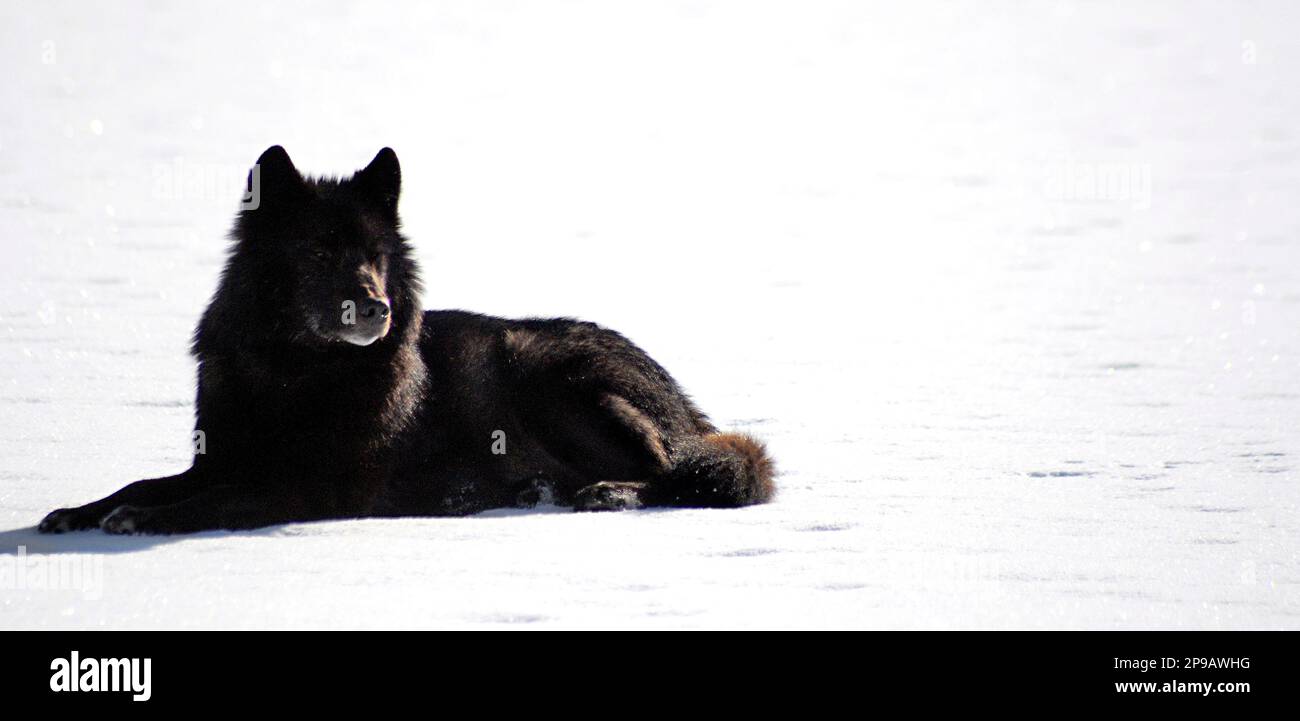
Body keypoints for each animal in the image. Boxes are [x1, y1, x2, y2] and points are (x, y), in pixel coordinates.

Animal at [38, 146, 774, 534]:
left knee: (682, 474)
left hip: (551, 377)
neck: (295, 373)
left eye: (376, 256)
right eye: (320, 251)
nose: (377, 308)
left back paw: (605, 493)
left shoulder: (319, 489)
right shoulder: (217, 458)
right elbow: (146, 479)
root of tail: (689, 408)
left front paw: (137, 519)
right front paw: (79, 510)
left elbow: (213, 502)